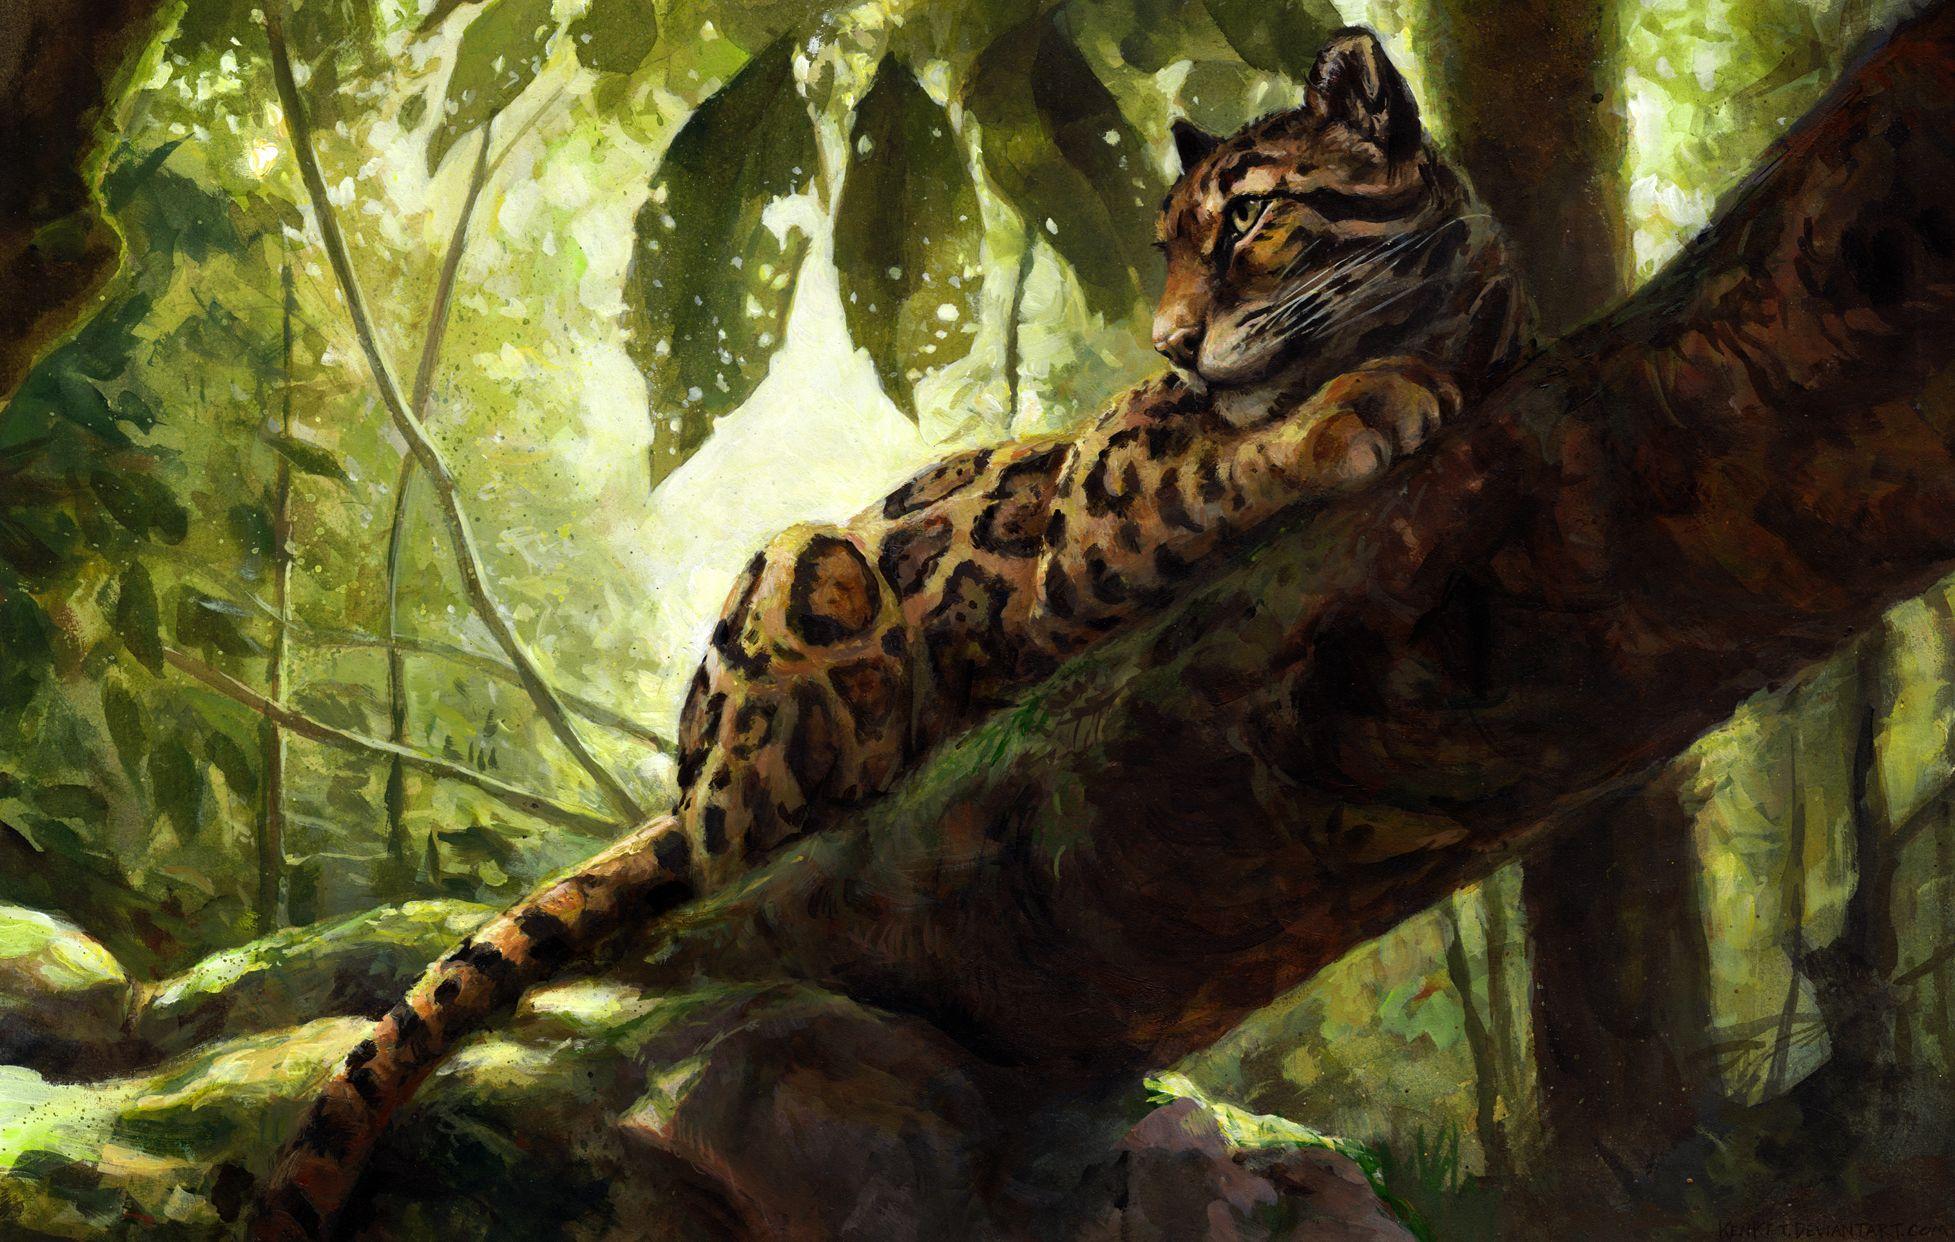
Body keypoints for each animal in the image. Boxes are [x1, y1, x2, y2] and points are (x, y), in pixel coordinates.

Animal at [251, 26, 1533, 1240]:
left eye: (1252, 216)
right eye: (1167, 241)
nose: (1168, 343)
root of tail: (680, 779)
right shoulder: (1096, 510)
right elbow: (1226, 461)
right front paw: (1357, 407)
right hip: (802, 566)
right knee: (742, 827)